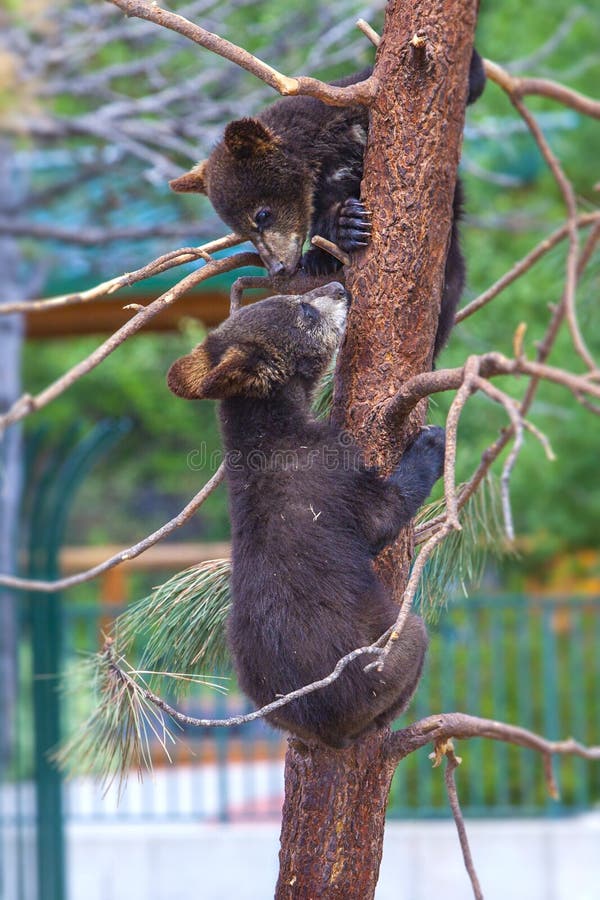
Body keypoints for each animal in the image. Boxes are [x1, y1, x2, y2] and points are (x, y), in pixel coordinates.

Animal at [167, 282, 446, 748]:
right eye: (305, 312)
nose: (338, 286)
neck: (273, 433)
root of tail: (322, 721)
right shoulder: (336, 473)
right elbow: (383, 516)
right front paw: (430, 445)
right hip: (389, 653)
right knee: (413, 640)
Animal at [170, 52, 485, 357]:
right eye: (241, 232)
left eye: (262, 214)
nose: (277, 269)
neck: (326, 153)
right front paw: (345, 227)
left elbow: (474, 81)